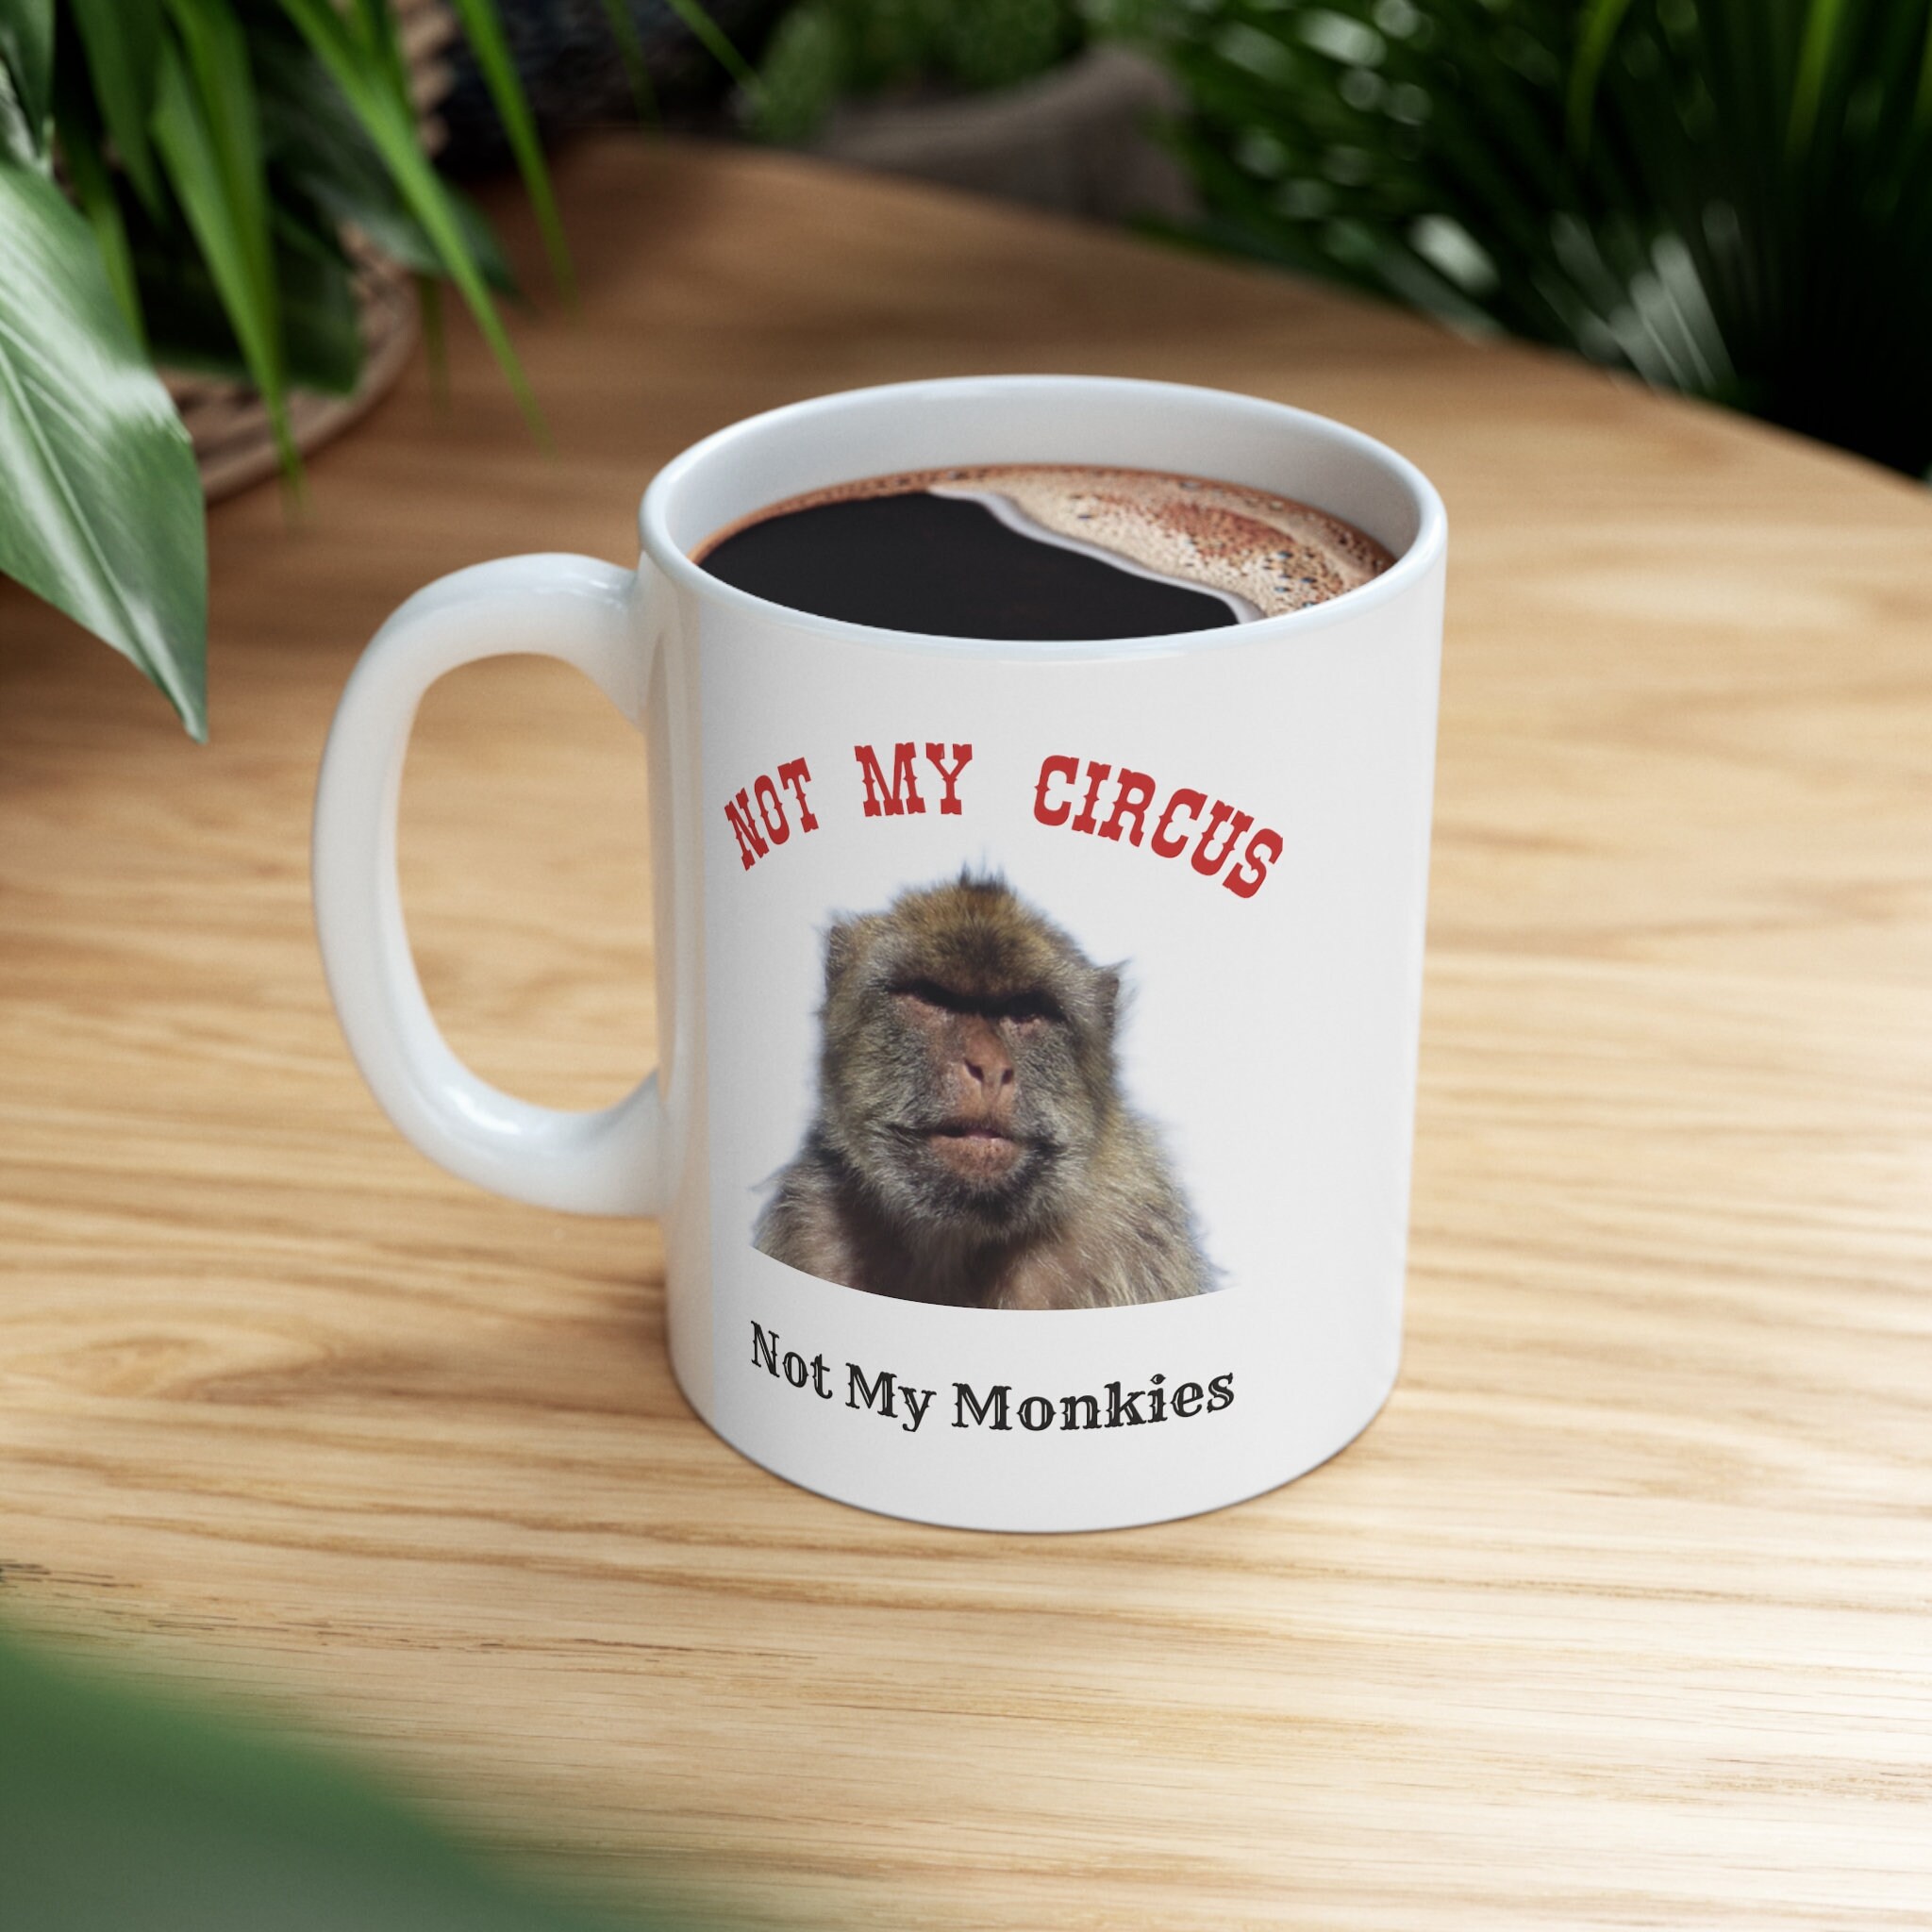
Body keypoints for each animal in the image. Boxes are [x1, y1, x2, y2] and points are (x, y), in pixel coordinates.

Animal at [754, 871, 1212, 1309]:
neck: (958, 1243)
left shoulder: (1129, 1231)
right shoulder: (809, 1225)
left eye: (1025, 1012)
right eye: (932, 997)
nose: (990, 1068)